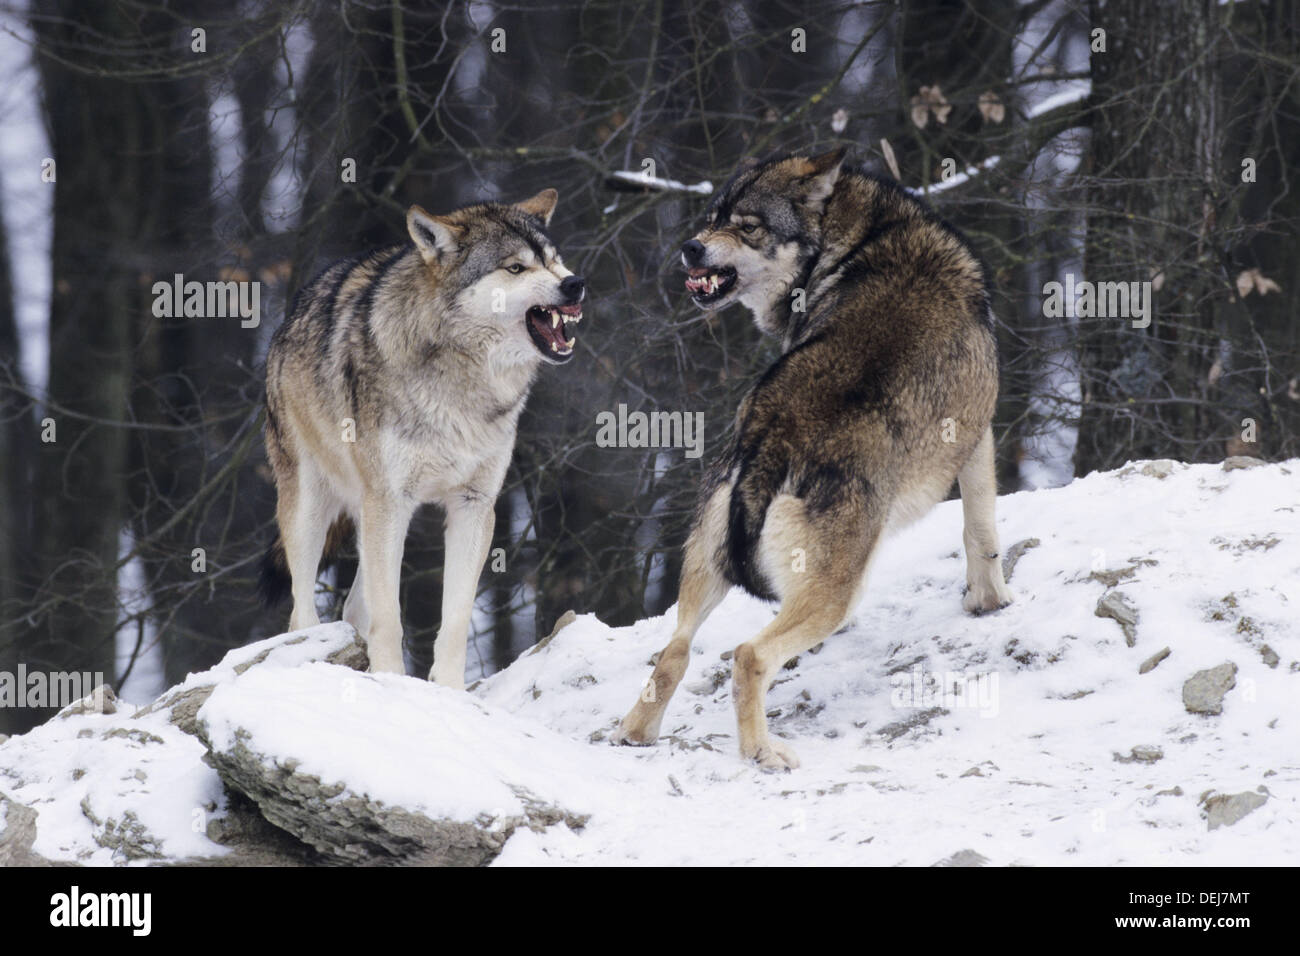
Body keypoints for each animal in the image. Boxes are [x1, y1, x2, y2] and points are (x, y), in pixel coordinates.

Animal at [260, 189, 584, 686]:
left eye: (554, 260)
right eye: (516, 268)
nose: (575, 284)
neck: (462, 384)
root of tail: (289, 316)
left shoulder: (474, 505)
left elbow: (455, 617)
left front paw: (448, 690)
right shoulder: (391, 502)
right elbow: (389, 617)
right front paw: (392, 681)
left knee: (353, 606)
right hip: (314, 508)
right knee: (303, 610)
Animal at [614, 149, 1015, 768]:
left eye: (743, 224)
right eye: (714, 218)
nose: (690, 247)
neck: (858, 242)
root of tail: (767, 438)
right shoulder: (977, 437)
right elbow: (982, 531)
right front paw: (990, 602)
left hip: (705, 566)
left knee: (674, 650)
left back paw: (635, 734)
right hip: (839, 594)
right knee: (749, 655)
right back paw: (763, 753)